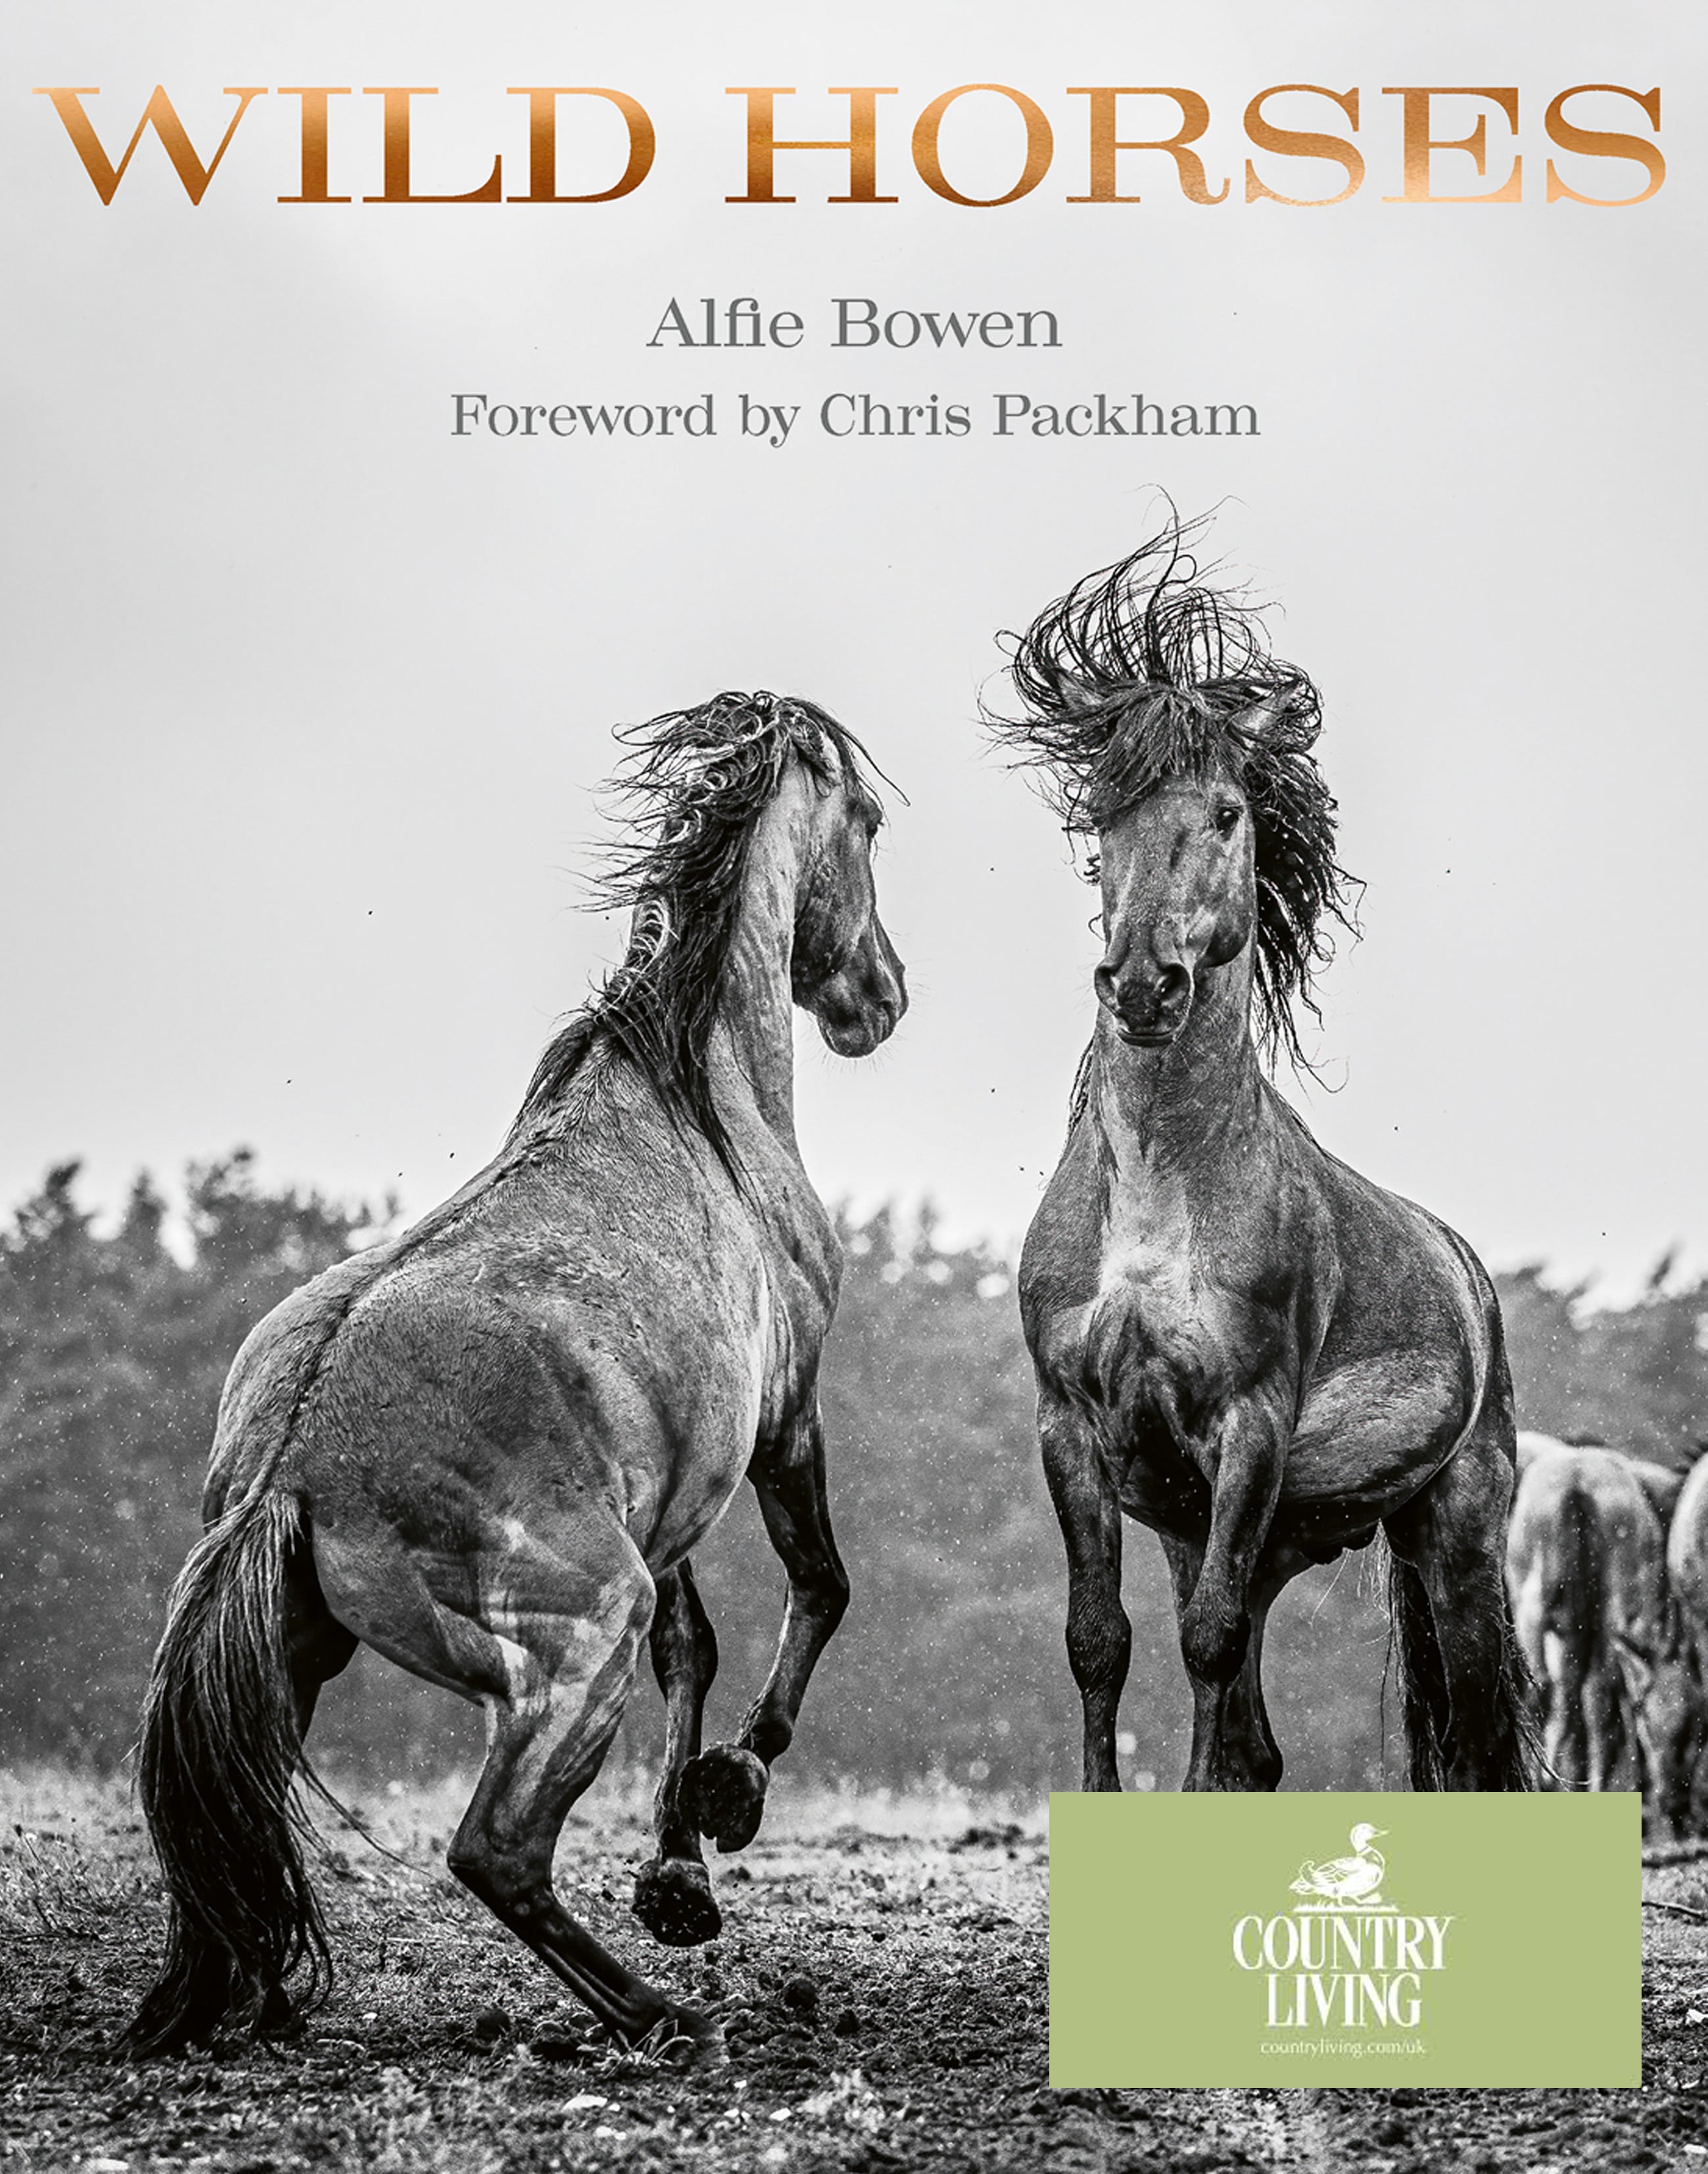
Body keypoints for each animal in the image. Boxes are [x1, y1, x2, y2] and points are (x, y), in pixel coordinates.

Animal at [128, 691, 907, 2062]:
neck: (701, 1099)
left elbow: (696, 1647)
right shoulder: (783, 1418)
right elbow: (818, 1588)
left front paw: (679, 1879)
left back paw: (241, 2000)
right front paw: (731, 1794)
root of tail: (291, 1459)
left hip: (295, 1657)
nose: (883, 994)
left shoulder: (672, 1492)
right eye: (864, 819)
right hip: (578, 1637)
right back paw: (658, 2017)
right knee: (493, 1852)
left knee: (229, 1836)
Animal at [988, 518, 1531, 1793]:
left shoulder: (1246, 1425)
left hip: (1454, 1524)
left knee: (1479, 1737)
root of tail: (1465, 1272)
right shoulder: (1076, 1429)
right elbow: (1101, 1642)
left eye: (1229, 813)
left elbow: (1203, 1643)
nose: (1142, 986)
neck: (1157, 1189)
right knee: (1256, 1733)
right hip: (1247, 1531)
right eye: (1100, 818)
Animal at [1509, 1434, 1699, 1829]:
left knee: (1554, 1695)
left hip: (1542, 1615)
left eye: (1693, 1726)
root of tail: (1577, 1486)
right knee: (1581, 1703)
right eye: (1648, 1724)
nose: (1675, 1804)